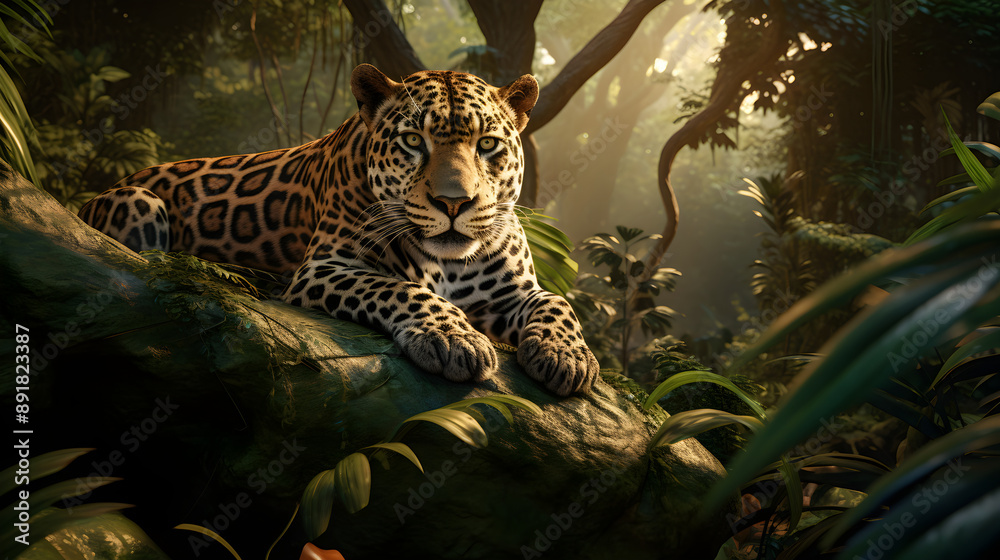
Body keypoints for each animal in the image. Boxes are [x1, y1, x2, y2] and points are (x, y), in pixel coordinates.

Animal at [78, 63, 599, 396]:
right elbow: (401, 289)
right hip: (140, 202)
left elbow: (559, 302)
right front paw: (454, 338)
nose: (454, 202)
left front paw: (568, 356)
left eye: (487, 144)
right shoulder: (325, 267)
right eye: (414, 141)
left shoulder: (512, 292)